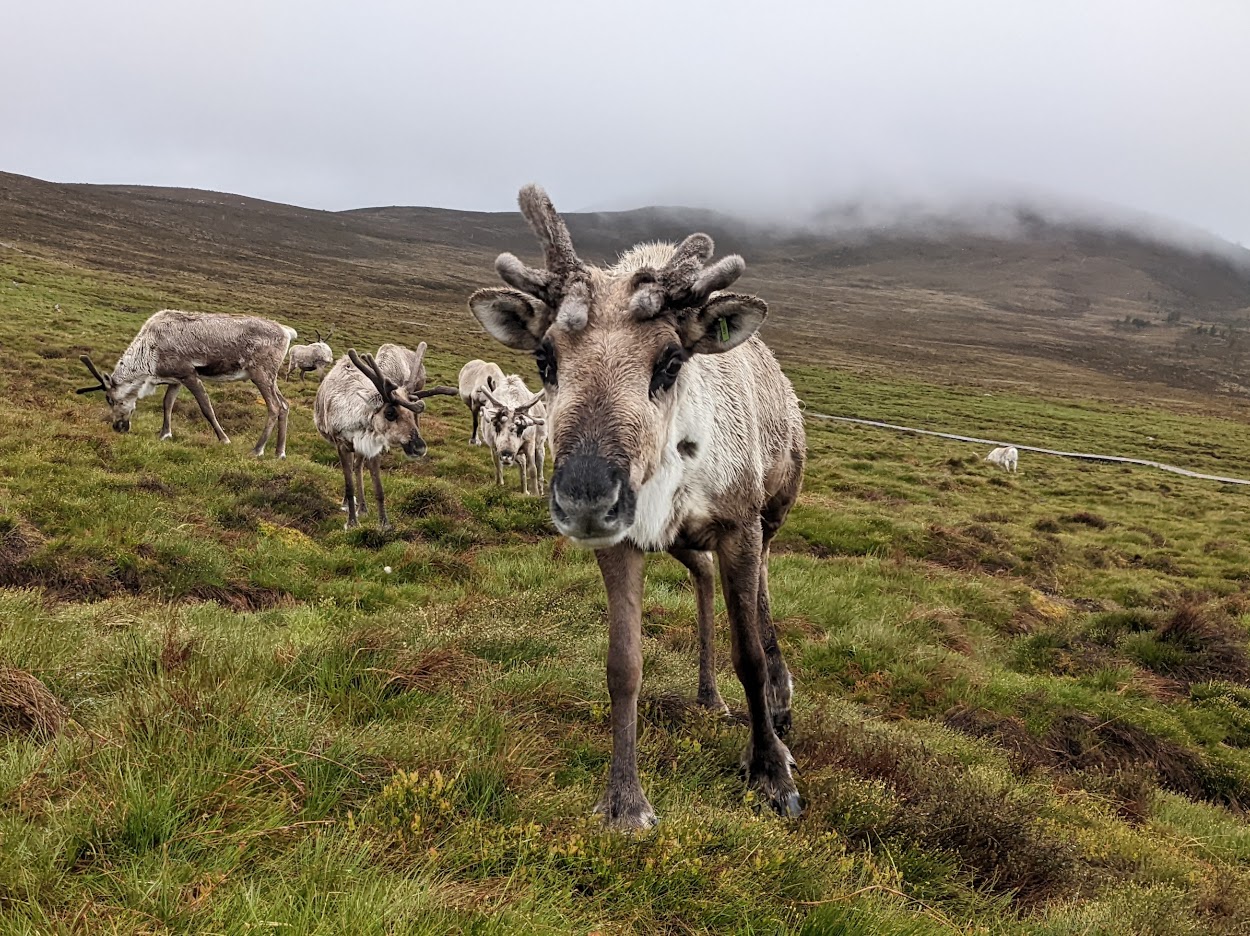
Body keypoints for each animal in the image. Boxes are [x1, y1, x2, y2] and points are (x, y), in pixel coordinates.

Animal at [77, 309, 297, 457]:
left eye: (111, 399)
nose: (117, 427)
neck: (148, 358)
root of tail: (287, 332)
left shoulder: (189, 373)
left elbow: (206, 408)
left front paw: (224, 439)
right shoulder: (176, 378)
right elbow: (167, 403)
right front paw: (165, 434)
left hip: (261, 373)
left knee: (274, 406)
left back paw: (258, 449)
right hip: (270, 377)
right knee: (285, 405)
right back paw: (279, 452)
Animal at [313, 349, 457, 530]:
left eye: (412, 414)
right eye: (389, 413)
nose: (420, 448)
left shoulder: (373, 448)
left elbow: (379, 489)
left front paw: (384, 524)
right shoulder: (342, 444)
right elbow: (349, 486)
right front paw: (351, 523)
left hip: (361, 450)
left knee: (357, 467)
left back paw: (363, 507)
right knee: (352, 472)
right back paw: (348, 504)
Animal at [468, 185, 806, 830]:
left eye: (671, 360)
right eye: (545, 360)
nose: (584, 498)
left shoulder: (739, 524)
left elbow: (749, 652)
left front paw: (771, 773)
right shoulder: (622, 539)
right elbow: (623, 667)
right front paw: (625, 802)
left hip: (771, 516)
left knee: (763, 595)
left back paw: (779, 706)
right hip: (678, 539)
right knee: (703, 578)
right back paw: (708, 694)